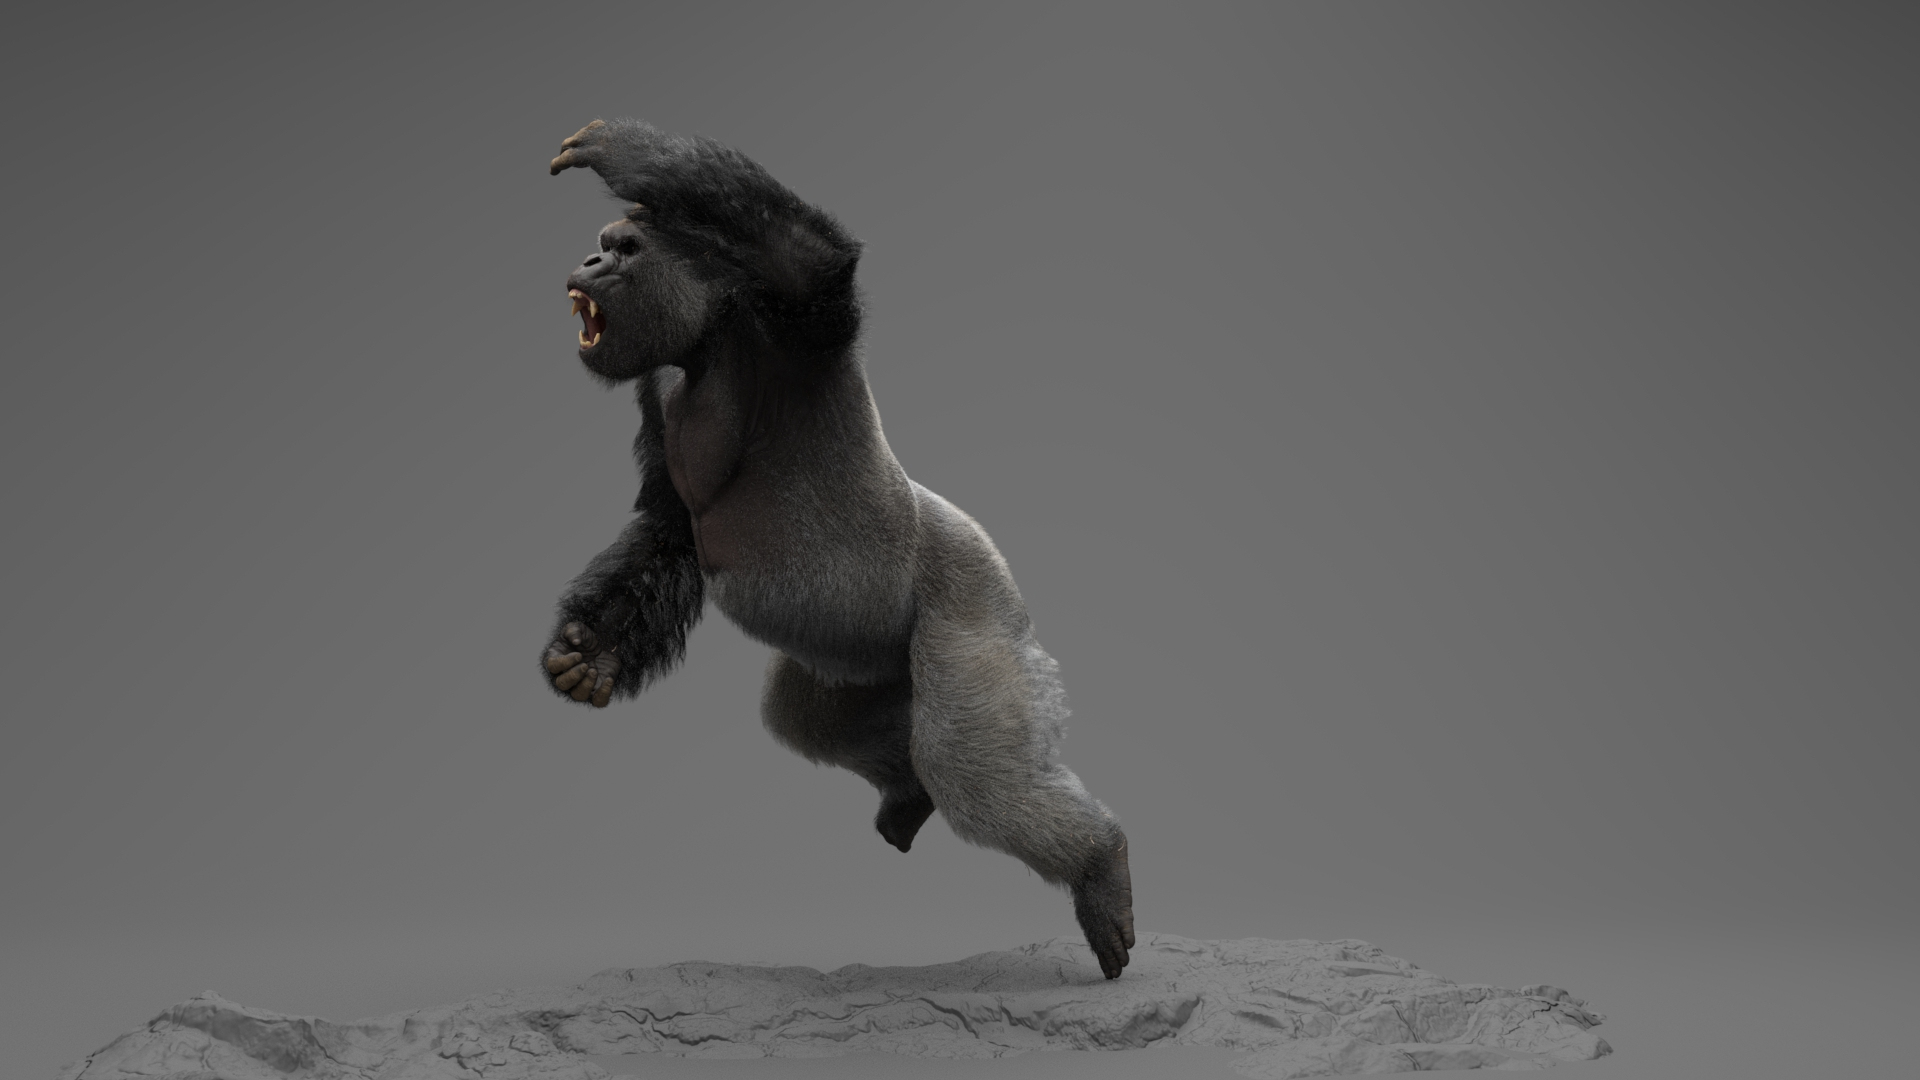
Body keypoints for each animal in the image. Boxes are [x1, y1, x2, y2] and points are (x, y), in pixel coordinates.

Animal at [539, 120, 1134, 978]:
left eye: (622, 248)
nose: (589, 264)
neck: (705, 346)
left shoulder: (790, 319)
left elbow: (810, 254)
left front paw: (630, 148)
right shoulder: (660, 386)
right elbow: (667, 533)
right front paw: (596, 647)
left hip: (976, 600)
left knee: (973, 772)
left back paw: (1099, 864)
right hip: (864, 666)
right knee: (806, 720)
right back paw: (907, 794)